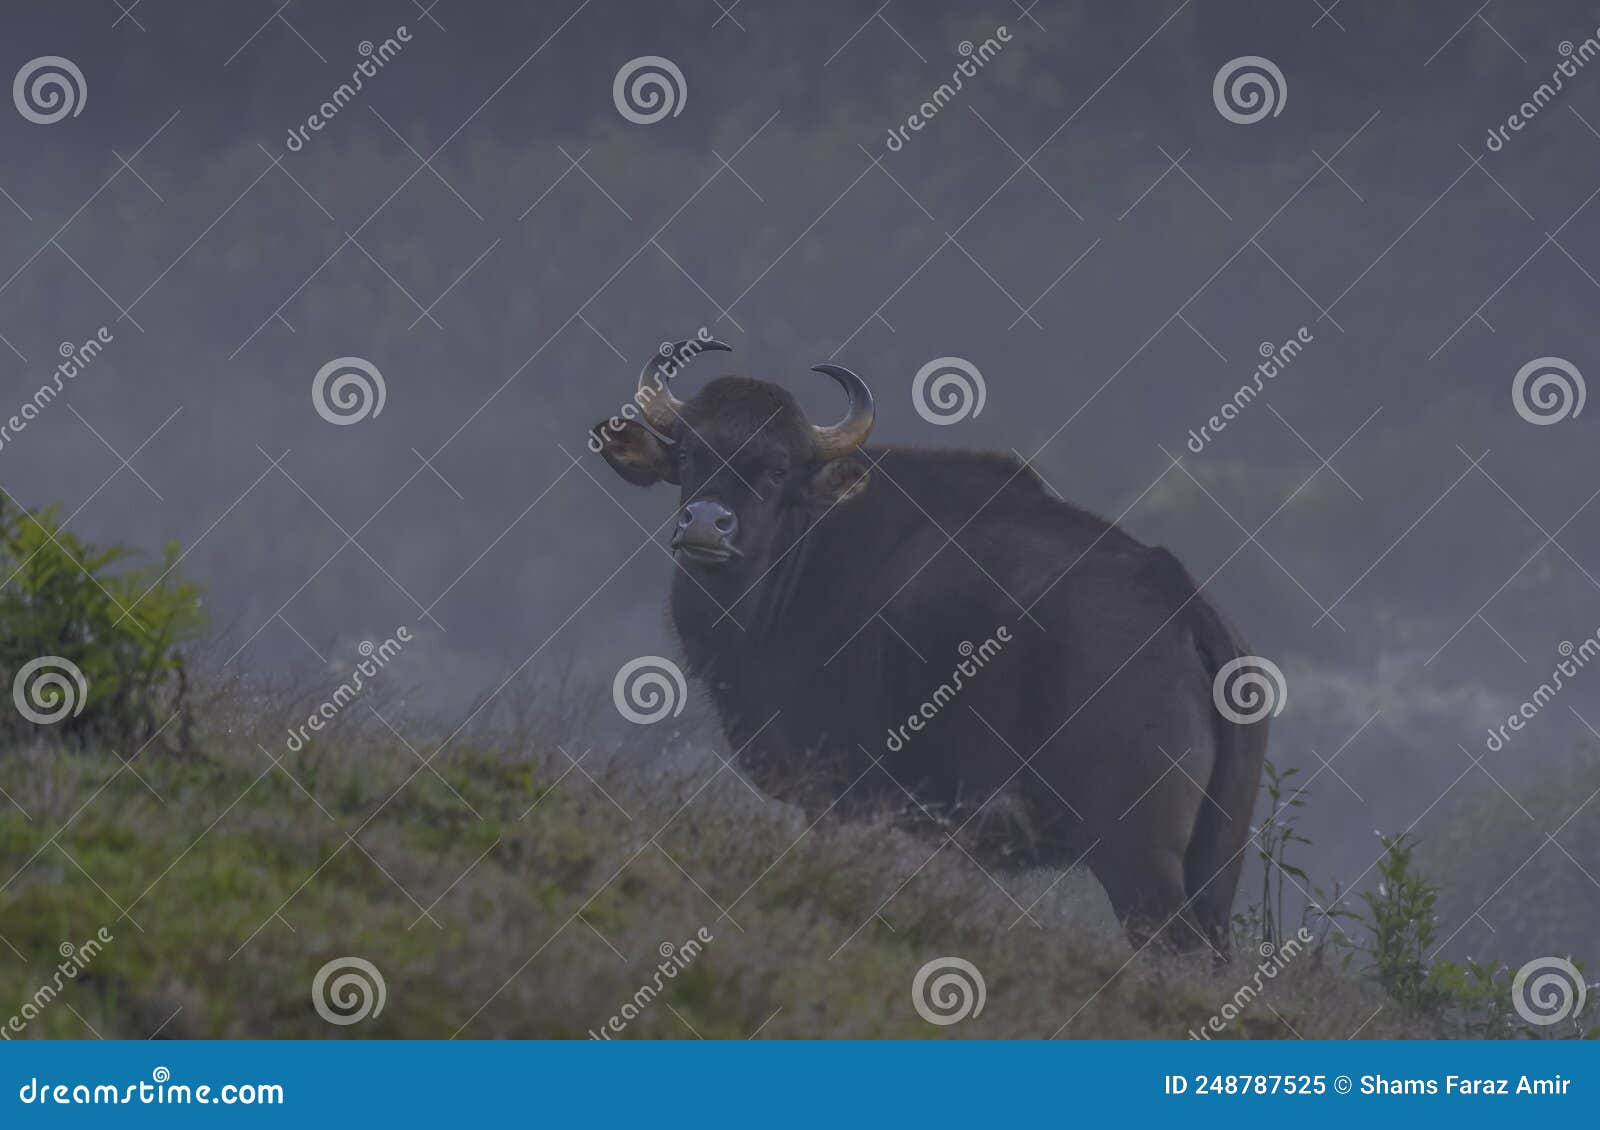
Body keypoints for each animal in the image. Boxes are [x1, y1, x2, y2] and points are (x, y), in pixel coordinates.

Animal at [593, 340, 1268, 955]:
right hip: (1216, 871)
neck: (791, 566)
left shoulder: (834, 795)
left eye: (776, 469)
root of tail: (1183, 604)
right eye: (690, 454)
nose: (707, 525)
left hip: (1138, 858)